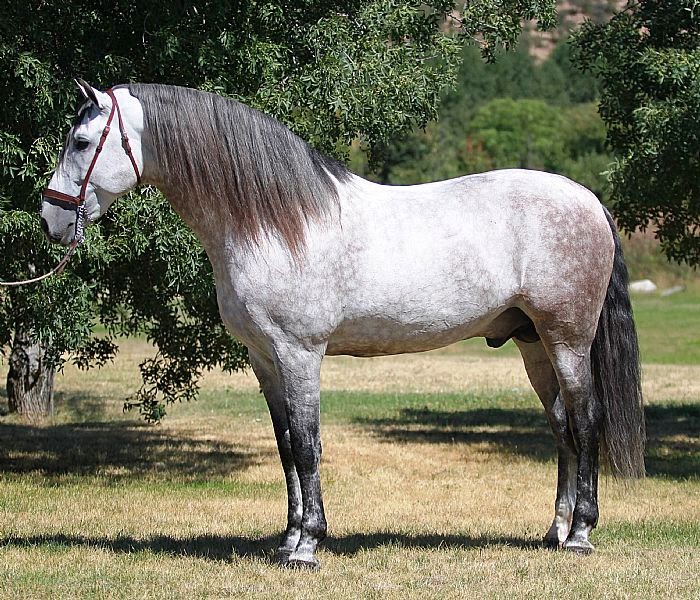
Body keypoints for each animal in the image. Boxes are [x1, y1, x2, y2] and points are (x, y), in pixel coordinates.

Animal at [40, 80, 645, 569]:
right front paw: (287, 540)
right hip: (533, 344)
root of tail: (589, 201)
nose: (50, 218)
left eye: (80, 142)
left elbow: (308, 444)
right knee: (562, 428)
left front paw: (308, 546)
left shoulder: (299, 353)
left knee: (586, 422)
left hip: (567, 340)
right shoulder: (265, 359)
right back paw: (555, 531)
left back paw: (581, 535)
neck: (273, 223)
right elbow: (286, 445)